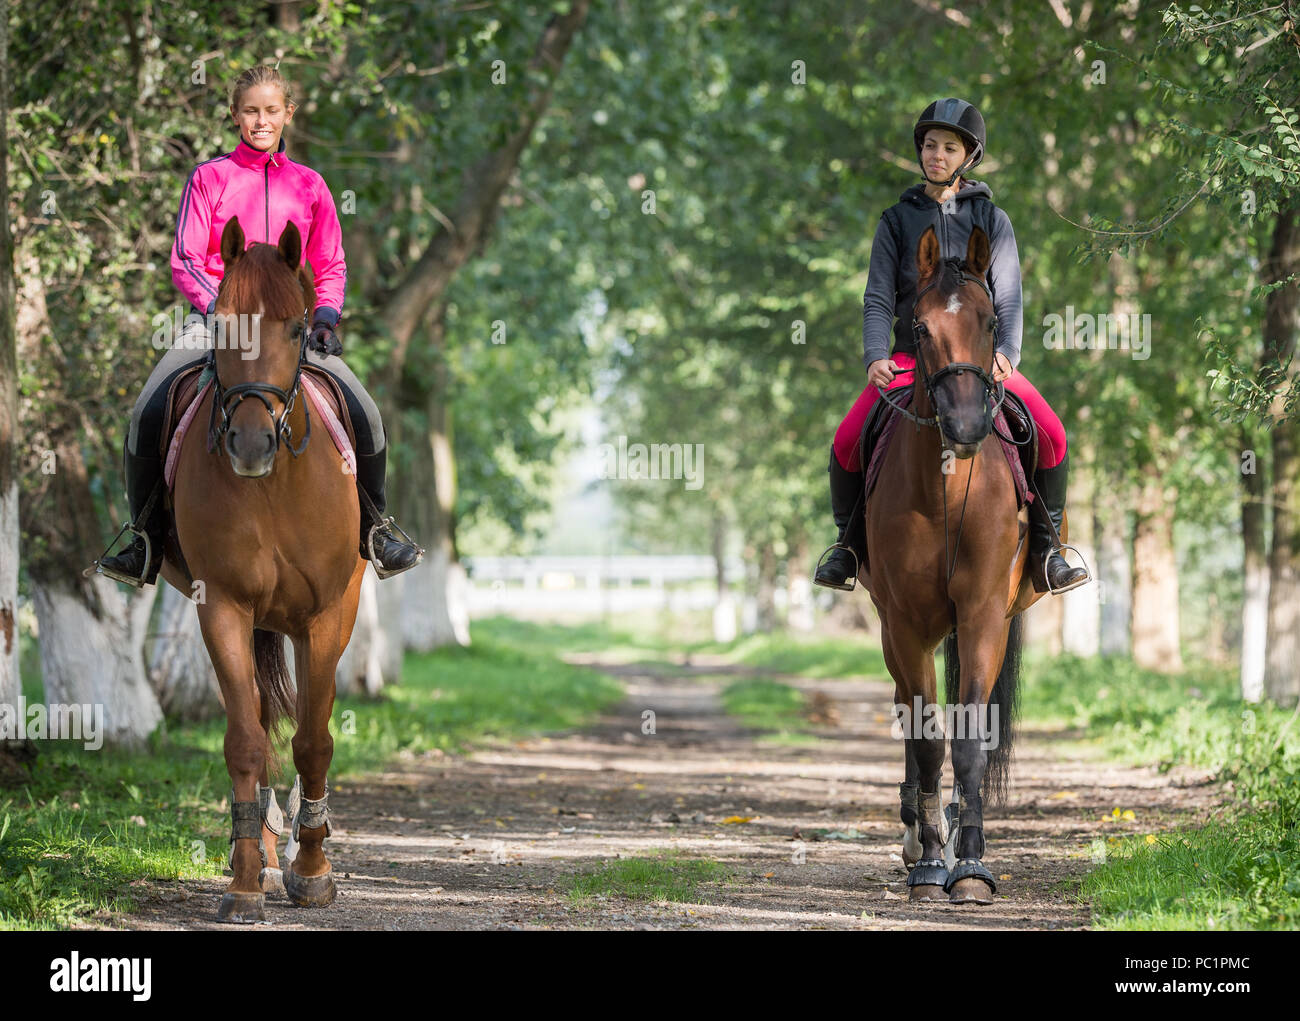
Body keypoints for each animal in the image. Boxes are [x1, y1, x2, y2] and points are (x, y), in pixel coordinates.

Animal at [160, 216, 366, 922]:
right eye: (222, 326)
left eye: (299, 330)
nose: (250, 445)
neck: (273, 487)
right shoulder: (222, 605)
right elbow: (248, 740)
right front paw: (247, 883)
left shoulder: (327, 615)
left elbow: (313, 740)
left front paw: (314, 871)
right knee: (256, 721)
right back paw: (259, 853)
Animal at [859, 224, 1055, 904]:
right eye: (918, 328)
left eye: (990, 322)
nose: (967, 424)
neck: (946, 491)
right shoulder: (906, 626)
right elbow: (927, 741)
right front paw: (928, 865)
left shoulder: (981, 617)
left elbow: (970, 741)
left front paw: (969, 866)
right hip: (892, 633)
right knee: (906, 716)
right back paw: (916, 833)